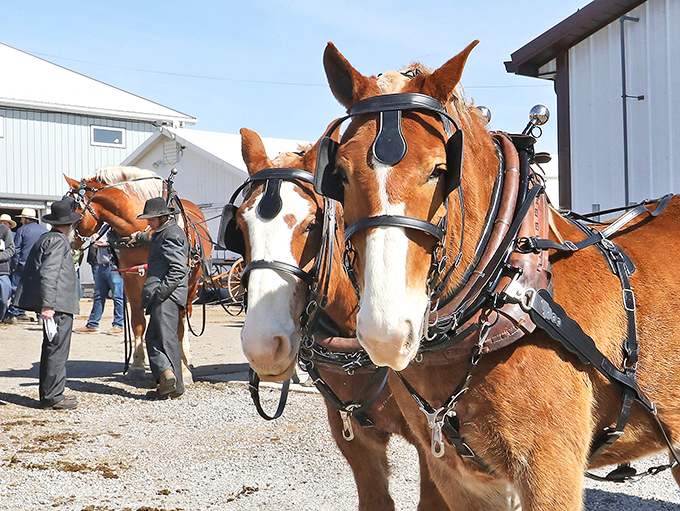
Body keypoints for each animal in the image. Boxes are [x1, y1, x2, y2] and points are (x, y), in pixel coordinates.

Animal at [64, 167, 212, 384]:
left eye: (73, 214)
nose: (67, 247)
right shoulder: (131, 278)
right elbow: (137, 322)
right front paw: (137, 365)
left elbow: (177, 323)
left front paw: (183, 370)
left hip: (192, 283)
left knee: (184, 317)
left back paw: (186, 357)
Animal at [316, 41, 680, 510]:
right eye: (339, 174)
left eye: (440, 169)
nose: (386, 332)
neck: (513, 283)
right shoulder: (457, 476)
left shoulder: (549, 473)